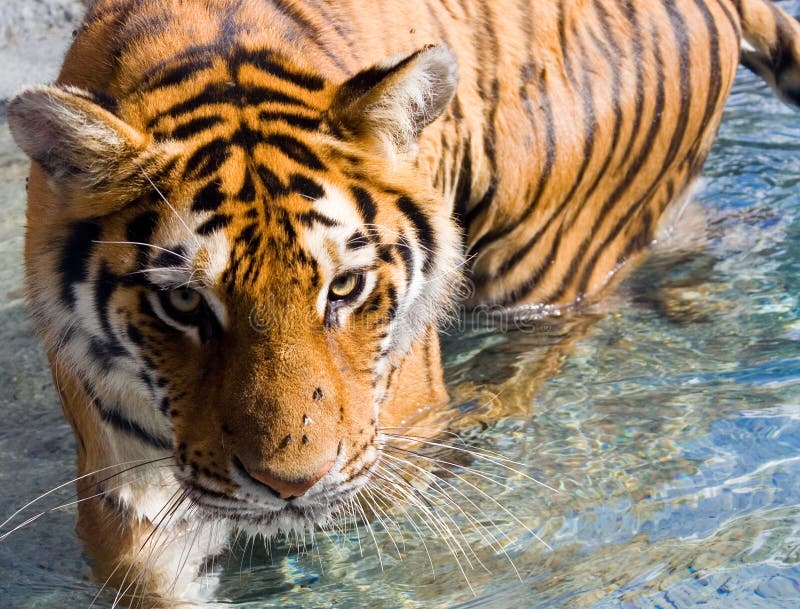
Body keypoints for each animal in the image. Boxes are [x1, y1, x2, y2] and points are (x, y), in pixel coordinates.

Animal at [6, 0, 800, 605]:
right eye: (183, 303)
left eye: (344, 287)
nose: (291, 485)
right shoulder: (131, 497)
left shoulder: (395, 469)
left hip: (544, 262)